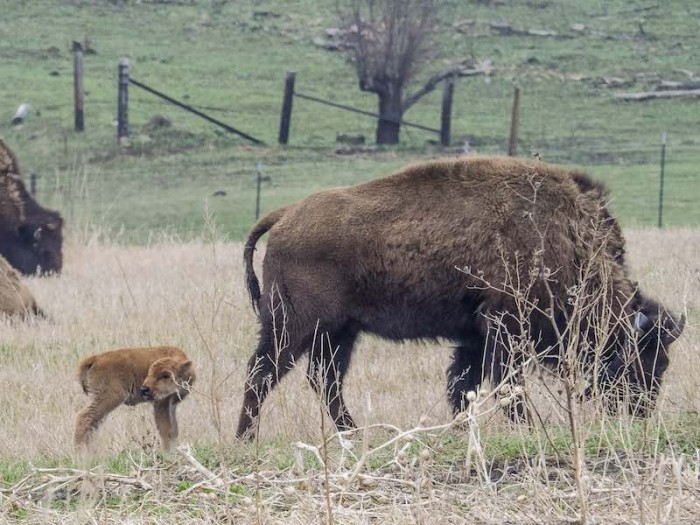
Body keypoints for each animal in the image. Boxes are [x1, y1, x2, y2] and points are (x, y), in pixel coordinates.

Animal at [236, 156, 684, 438]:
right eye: (643, 360)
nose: (641, 414)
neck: (564, 242)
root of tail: (285, 214)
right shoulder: (504, 330)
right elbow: (505, 386)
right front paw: (527, 429)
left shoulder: (475, 337)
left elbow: (463, 386)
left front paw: (459, 431)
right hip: (294, 326)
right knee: (264, 373)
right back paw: (246, 438)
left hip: (340, 333)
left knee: (324, 380)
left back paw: (355, 435)